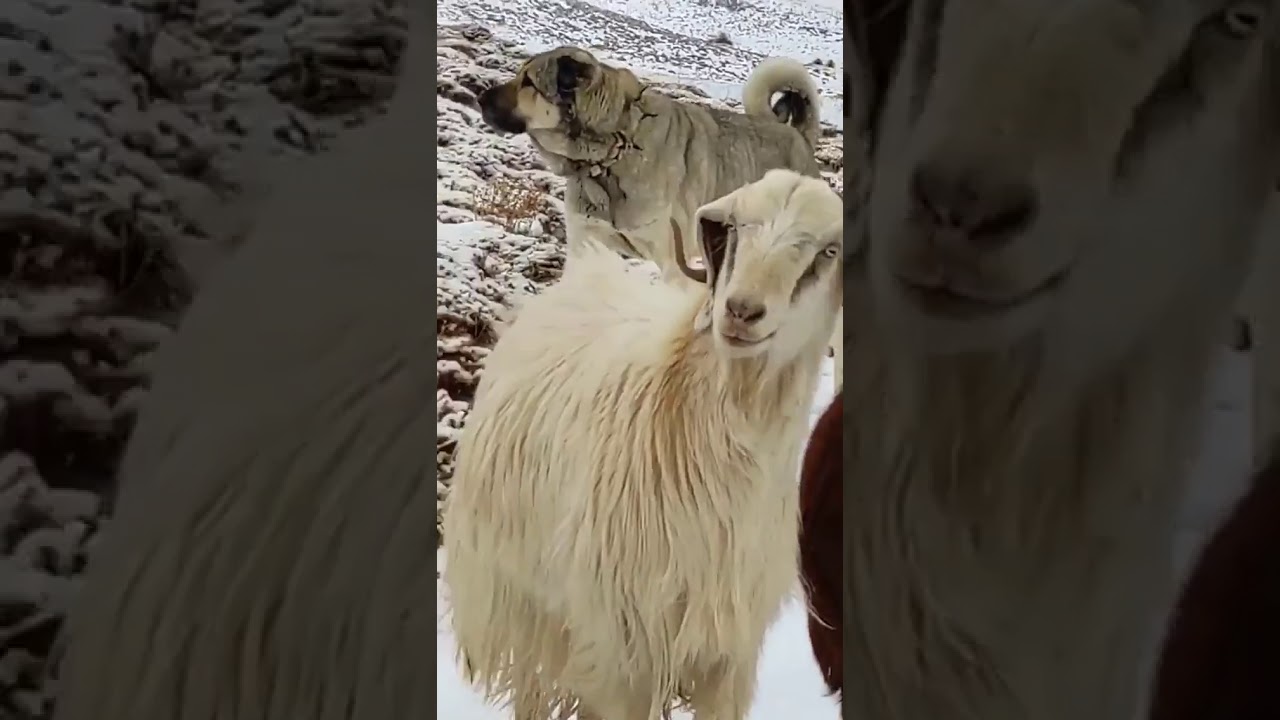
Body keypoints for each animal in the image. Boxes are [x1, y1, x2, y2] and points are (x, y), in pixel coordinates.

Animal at [441, 168, 844, 720]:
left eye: (829, 250)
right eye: (735, 229)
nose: (742, 311)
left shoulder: (726, 656)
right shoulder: (625, 648)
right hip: (528, 605)